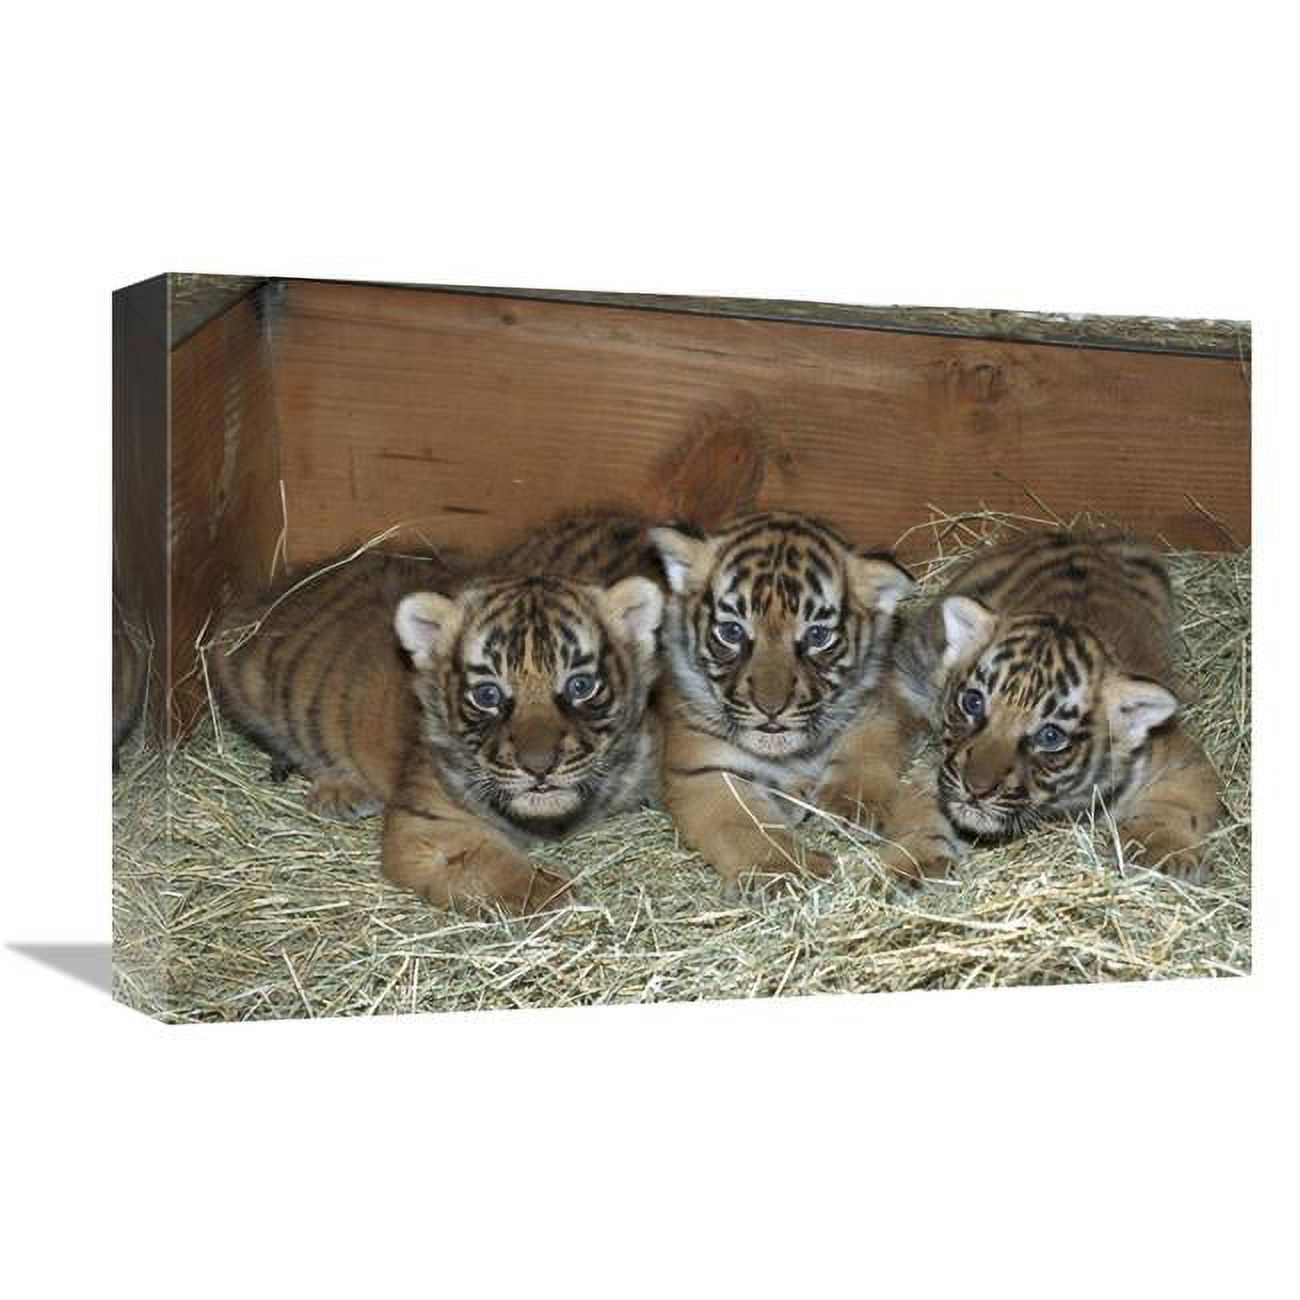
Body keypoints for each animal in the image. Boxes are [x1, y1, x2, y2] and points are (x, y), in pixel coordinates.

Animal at [212, 514, 664, 913]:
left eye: (580, 686)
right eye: (487, 694)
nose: (539, 768)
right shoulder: (427, 827)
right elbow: (489, 867)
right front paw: (555, 893)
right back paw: (340, 791)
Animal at [648, 511, 914, 888]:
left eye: (817, 636)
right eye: (731, 632)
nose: (770, 708)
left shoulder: (876, 708)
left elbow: (867, 750)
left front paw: (855, 804)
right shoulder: (702, 771)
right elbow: (748, 829)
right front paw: (788, 871)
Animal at [878, 529, 1222, 884]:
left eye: (1050, 736)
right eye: (973, 702)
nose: (976, 790)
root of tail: (1071, 534)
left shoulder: (1184, 762)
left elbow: (1176, 803)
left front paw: (1161, 851)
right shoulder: (937, 768)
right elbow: (913, 807)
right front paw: (917, 865)